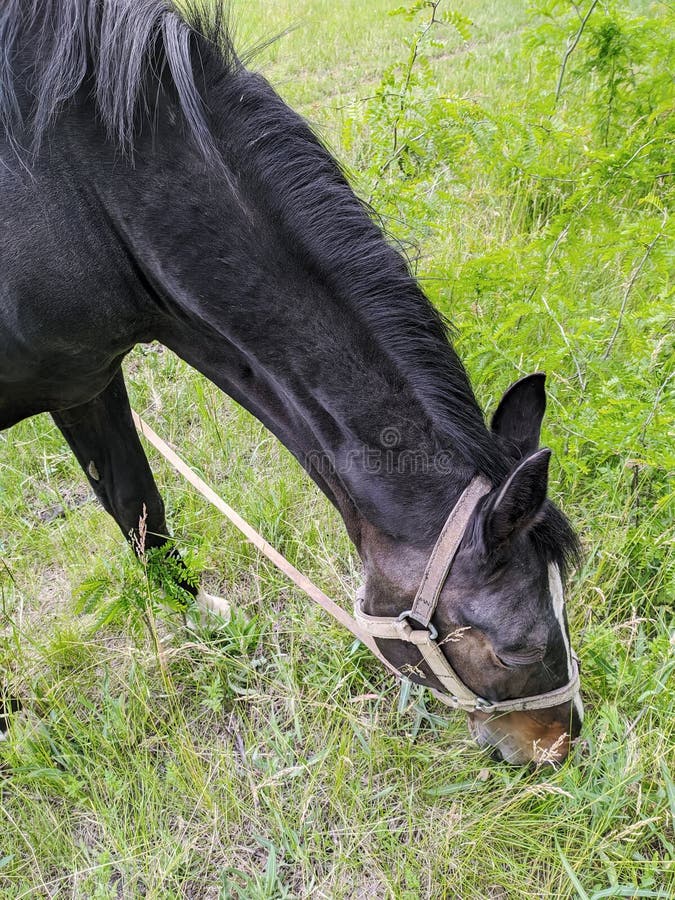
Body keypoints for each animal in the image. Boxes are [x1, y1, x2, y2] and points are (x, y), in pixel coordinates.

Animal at [0, 0, 583, 765]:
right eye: (518, 651)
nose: (561, 743)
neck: (72, 198)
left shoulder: (86, 378)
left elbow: (137, 506)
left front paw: (204, 622)